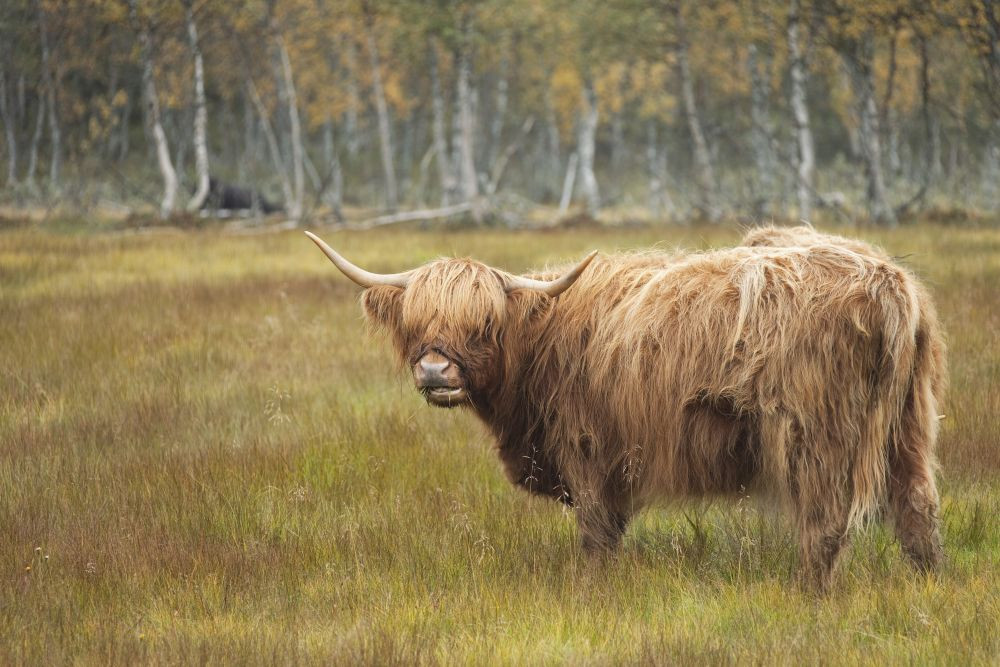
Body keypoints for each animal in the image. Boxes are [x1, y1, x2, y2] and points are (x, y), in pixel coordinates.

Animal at [305, 229, 946, 591]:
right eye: (416, 322)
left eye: (482, 323)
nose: (437, 372)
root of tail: (888, 280)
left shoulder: (590, 454)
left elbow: (597, 536)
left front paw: (592, 593)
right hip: (910, 425)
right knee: (916, 506)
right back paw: (928, 587)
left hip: (815, 433)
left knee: (824, 523)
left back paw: (807, 596)